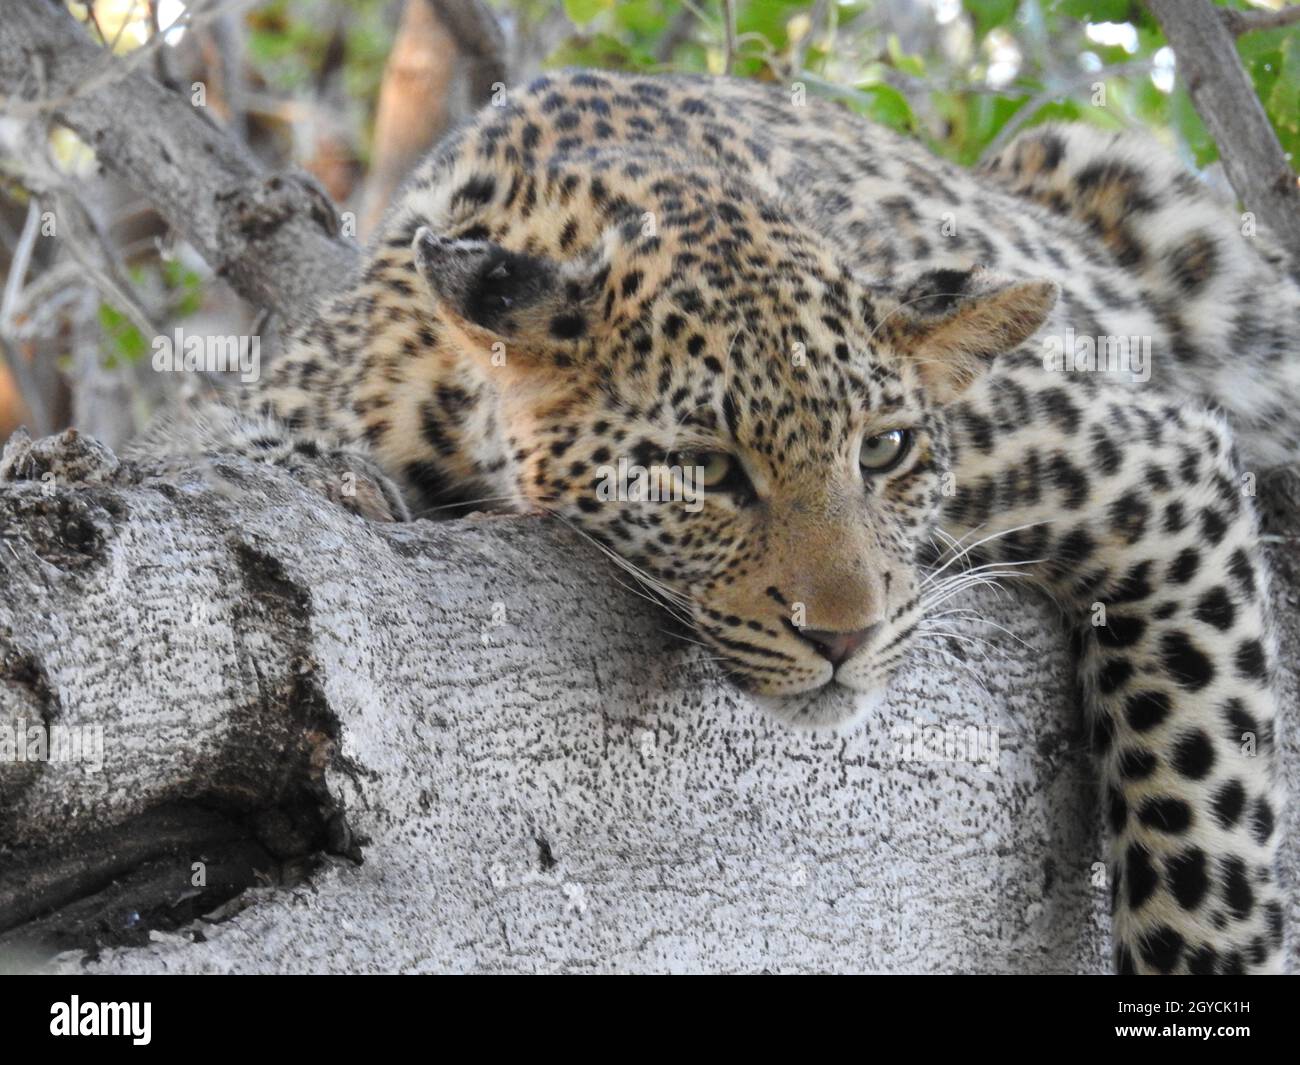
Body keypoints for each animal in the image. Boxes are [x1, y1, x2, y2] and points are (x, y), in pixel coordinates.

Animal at [142, 70, 1298, 975]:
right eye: (704, 471)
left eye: (886, 449)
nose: (845, 636)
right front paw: (337, 480)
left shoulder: (1156, 476)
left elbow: (1203, 820)